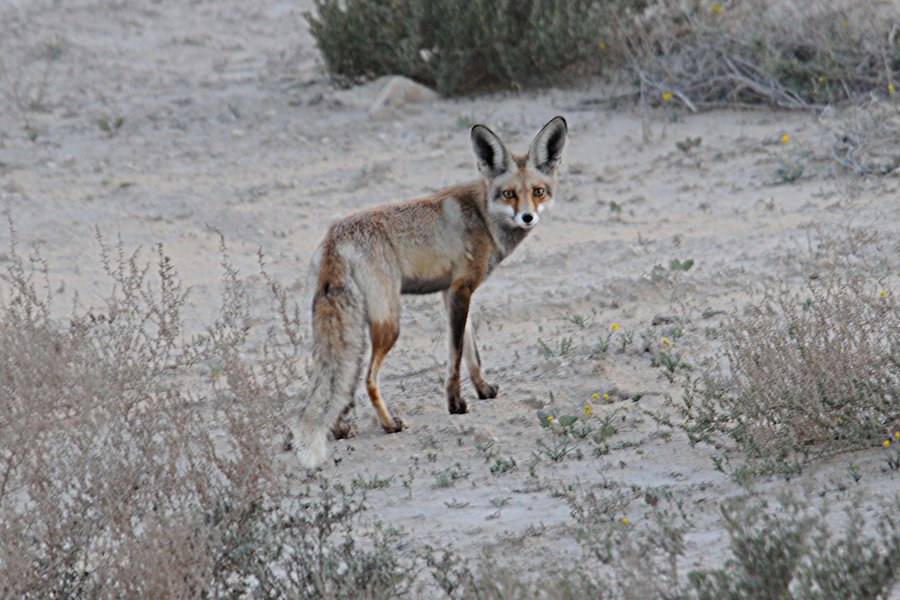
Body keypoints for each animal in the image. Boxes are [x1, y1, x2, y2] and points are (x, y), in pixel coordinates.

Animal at [294, 116, 568, 468]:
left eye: (538, 192)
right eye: (509, 194)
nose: (528, 217)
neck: (483, 217)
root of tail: (334, 236)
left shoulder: (453, 293)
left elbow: (472, 354)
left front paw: (483, 391)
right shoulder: (461, 290)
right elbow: (455, 358)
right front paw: (456, 405)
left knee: (334, 381)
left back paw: (339, 428)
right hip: (389, 324)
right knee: (368, 380)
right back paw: (389, 424)